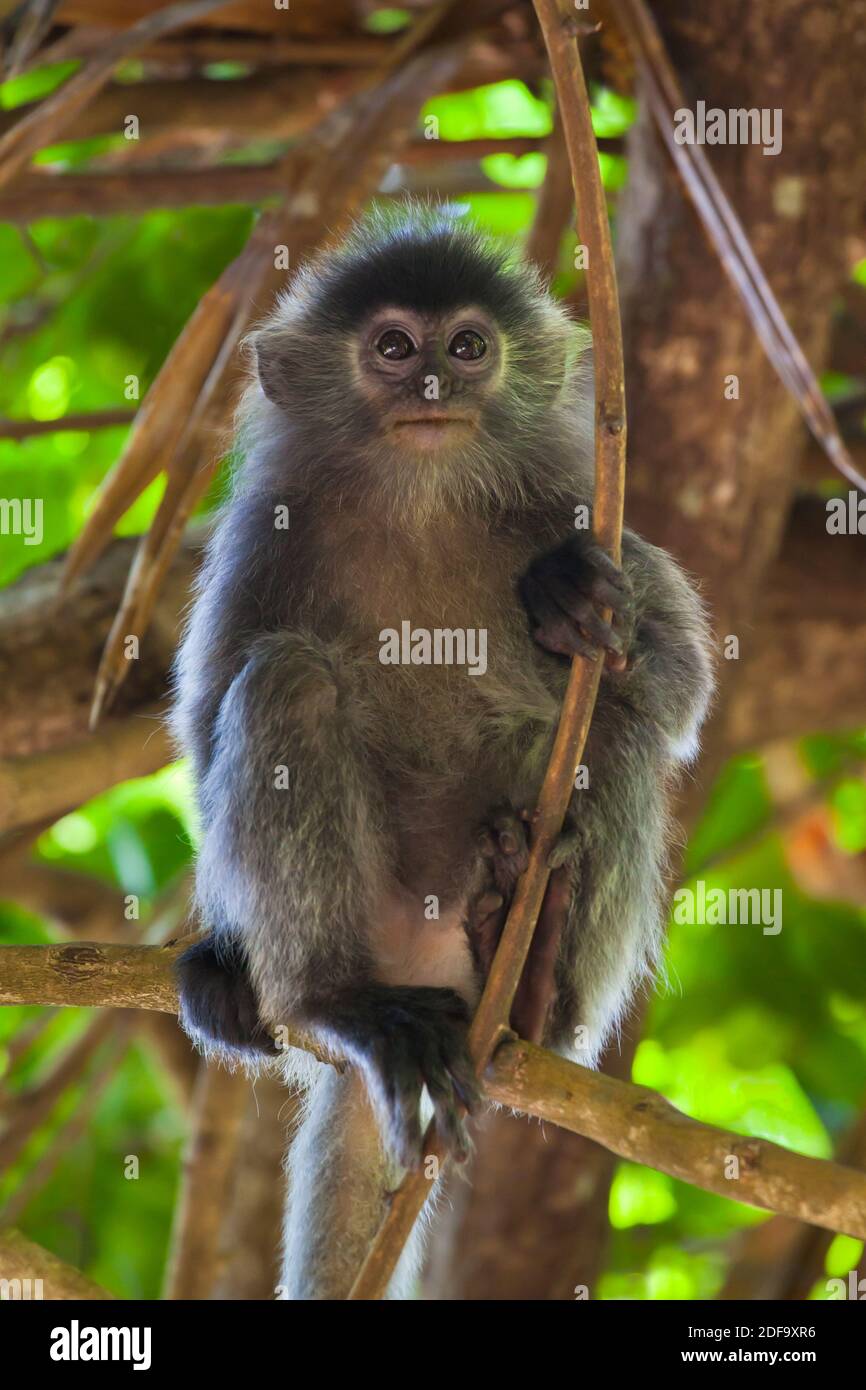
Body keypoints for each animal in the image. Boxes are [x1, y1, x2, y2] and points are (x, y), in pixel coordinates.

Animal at [171, 204, 714, 1299]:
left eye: (466, 348)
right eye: (392, 347)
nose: (431, 386)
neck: (420, 496)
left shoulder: (582, 508)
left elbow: (678, 697)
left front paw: (566, 599)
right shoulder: (260, 533)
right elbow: (203, 724)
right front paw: (217, 968)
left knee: (615, 729)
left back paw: (533, 971)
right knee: (285, 679)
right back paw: (341, 1002)